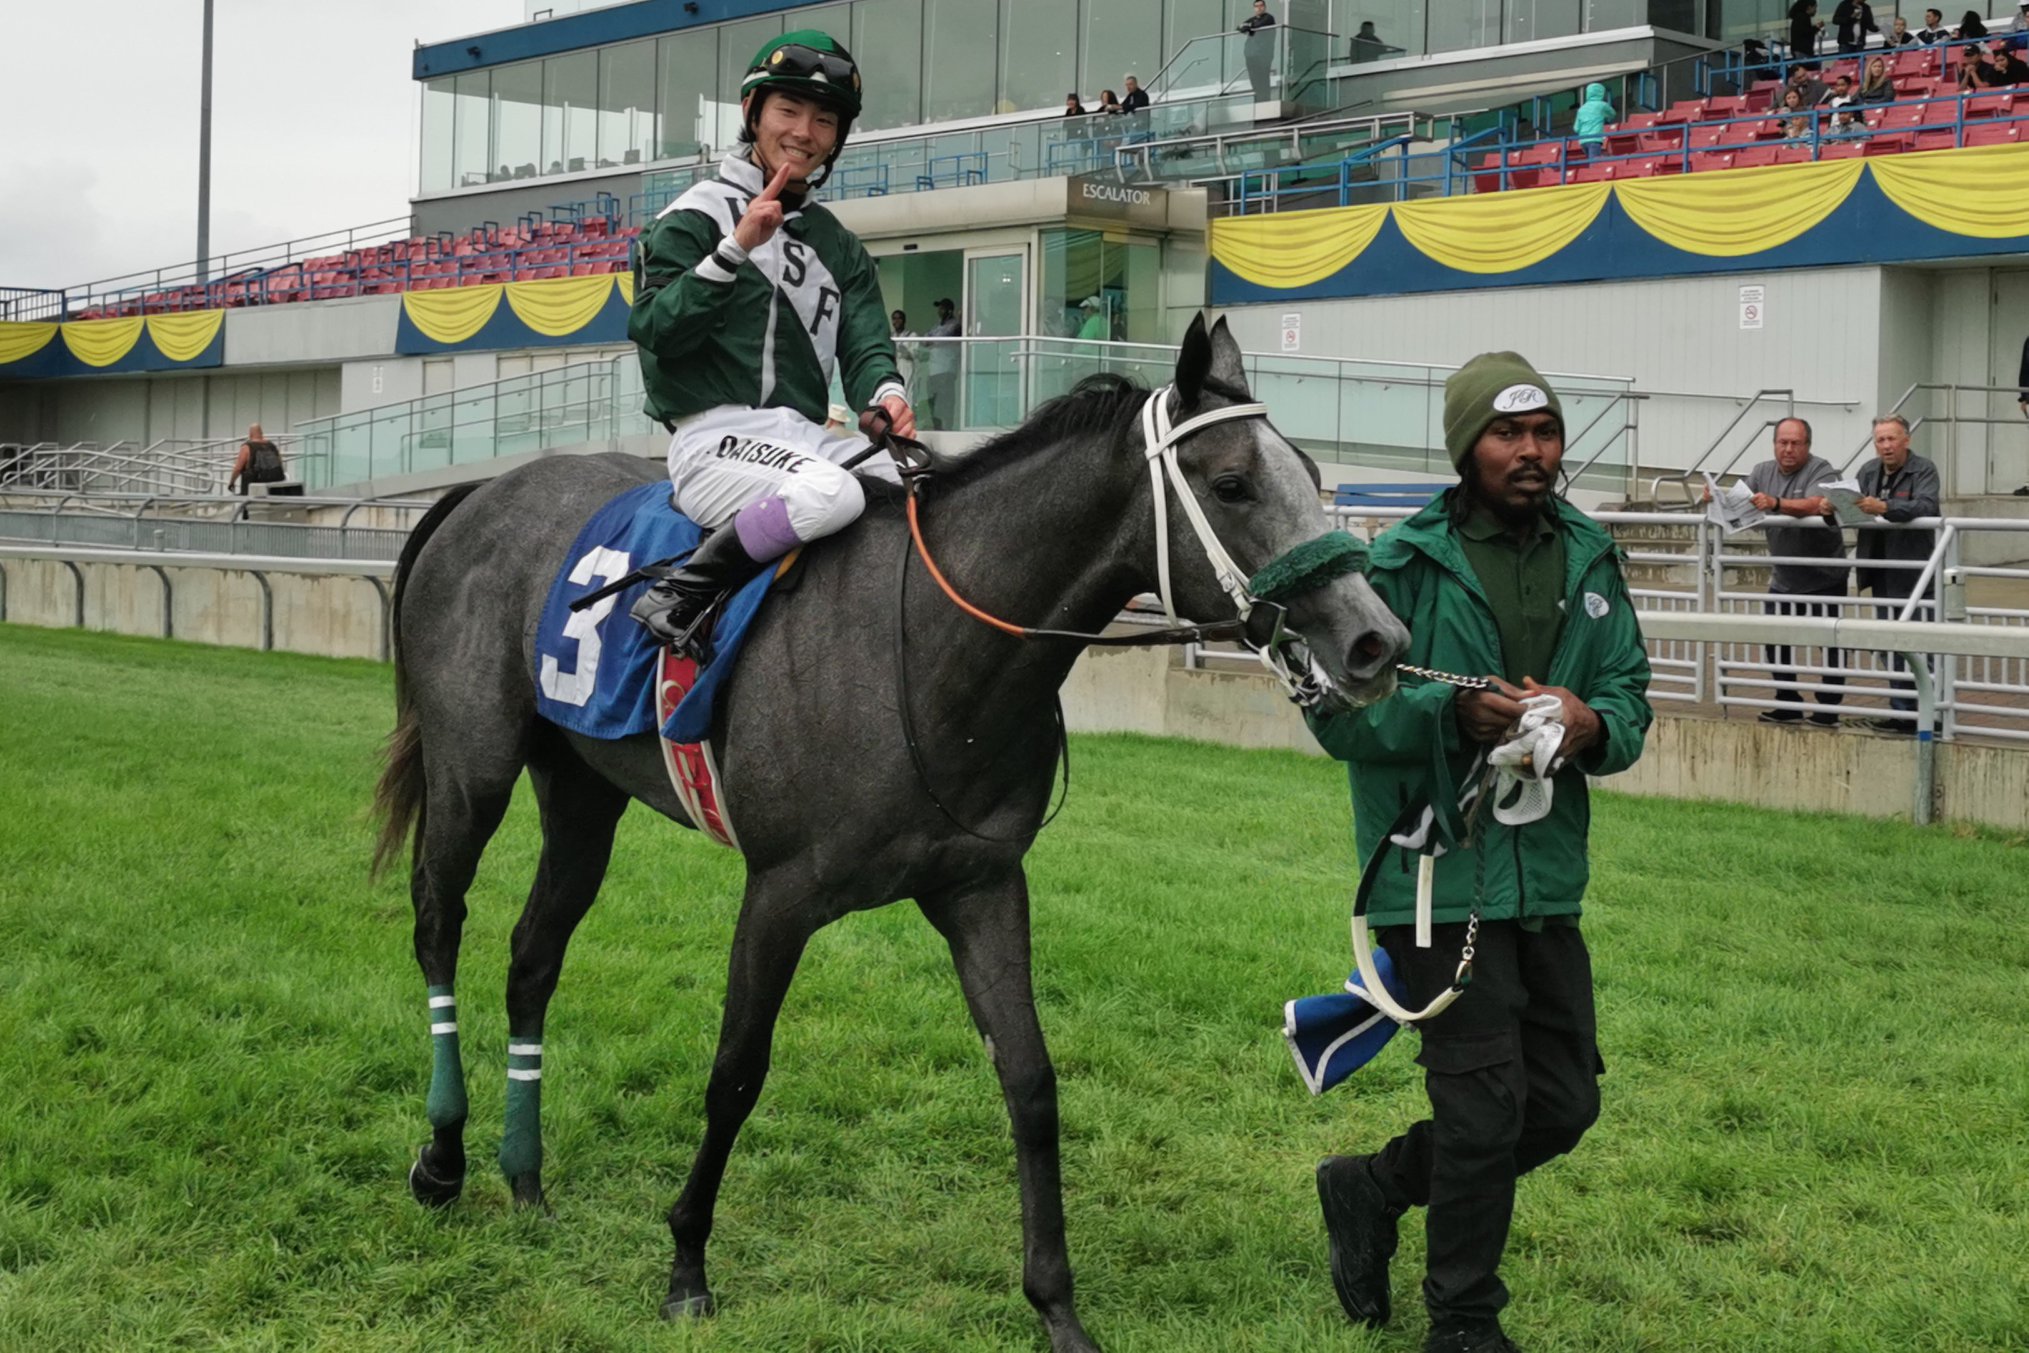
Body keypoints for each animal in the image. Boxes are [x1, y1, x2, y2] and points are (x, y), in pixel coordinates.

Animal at [370, 314, 1409, 1353]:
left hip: (582, 792)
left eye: (1309, 469)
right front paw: (686, 1264)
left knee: (532, 956)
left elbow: (1030, 1078)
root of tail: (480, 491)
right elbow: (735, 1072)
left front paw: (1056, 1304)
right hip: (473, 768)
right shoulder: (778, 893)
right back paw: (444, 1157)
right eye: (1231, 483)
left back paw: (524, 1177)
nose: (1377, 641)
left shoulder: (979, 885)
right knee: (436, 924)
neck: (928, 644)